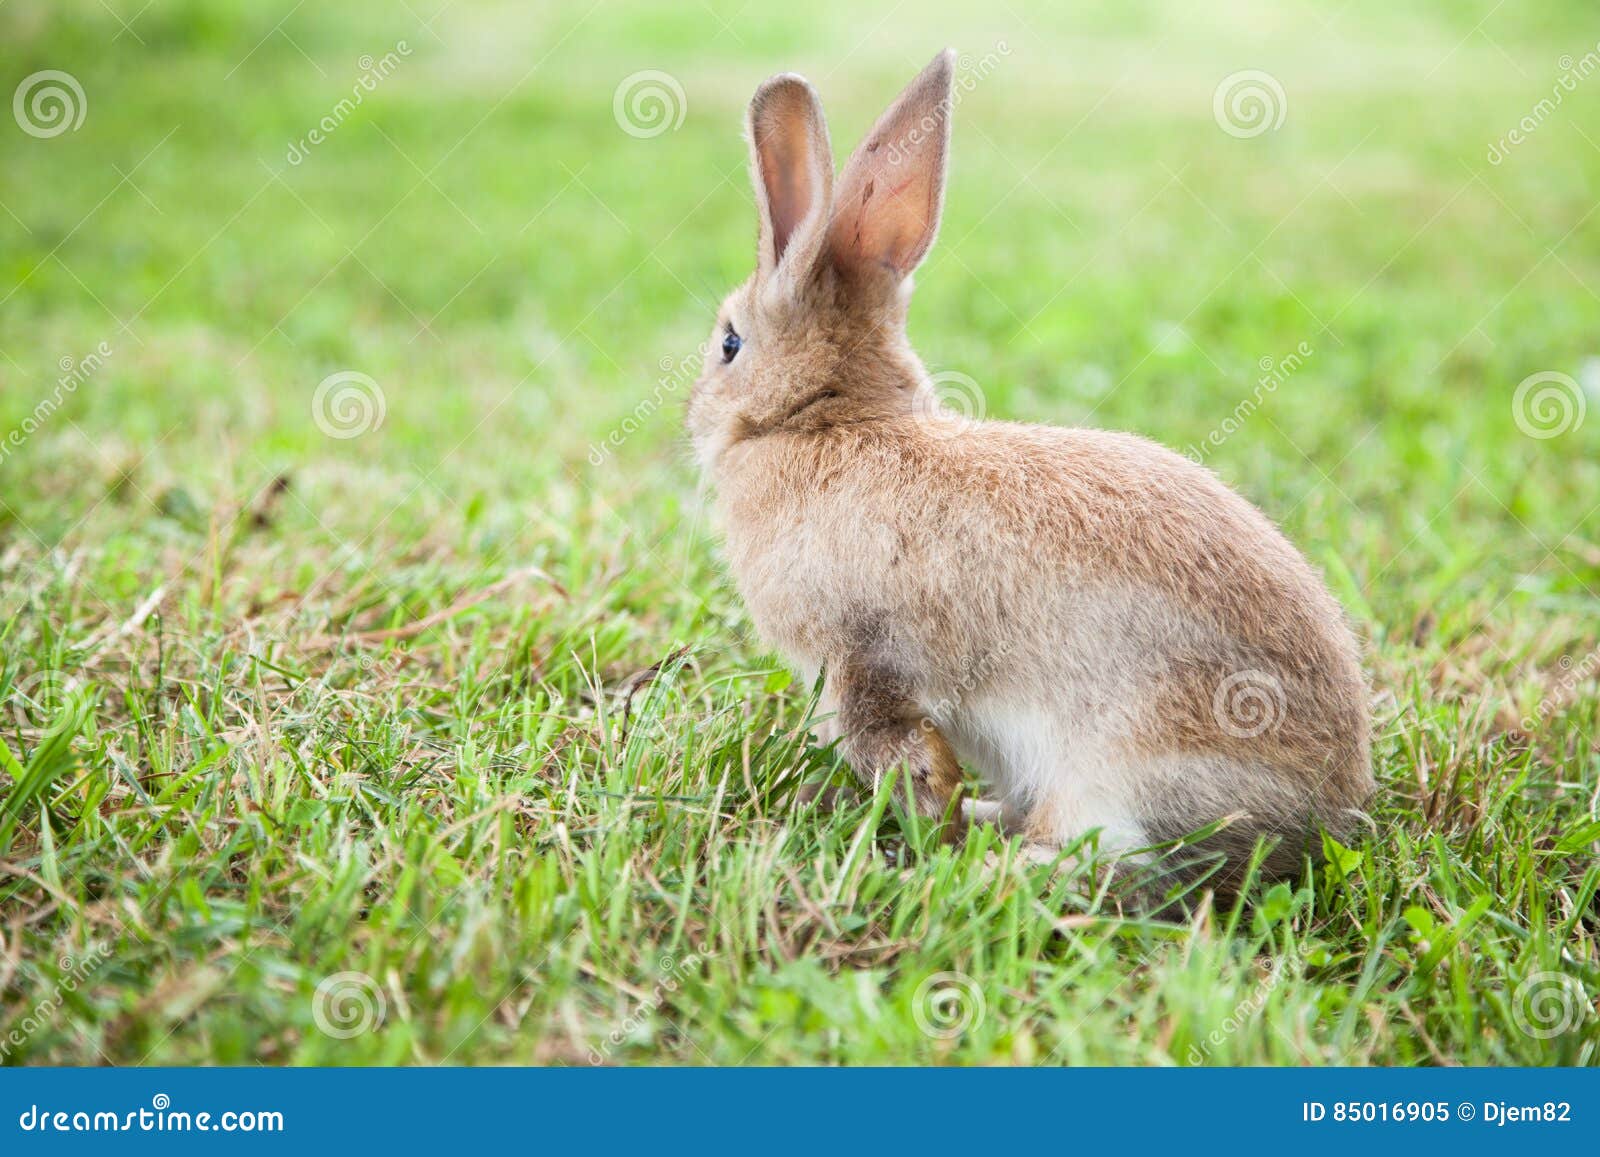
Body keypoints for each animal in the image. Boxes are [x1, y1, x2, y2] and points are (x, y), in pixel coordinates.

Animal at [686, 49, 1373, 891]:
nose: (693, 418)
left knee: (1099, 862)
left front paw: (922, 829)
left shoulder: (859, 657)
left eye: (729, 344)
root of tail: (1323, 816)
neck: (829, 421)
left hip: (1121, 766)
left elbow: (896, 751)